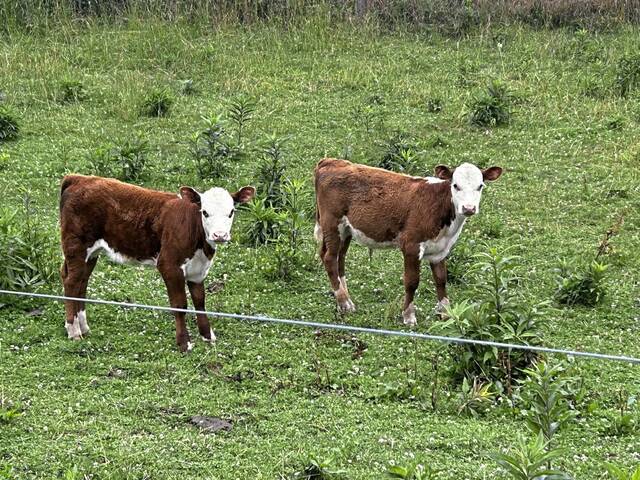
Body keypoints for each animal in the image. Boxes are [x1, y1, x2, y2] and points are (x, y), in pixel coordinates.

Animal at [59, 175, 255, 352]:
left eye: (231, 212)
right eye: (205, 212)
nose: (219, 235)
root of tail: (78, 178)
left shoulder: (198, 270)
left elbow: (200, 301)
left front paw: (207, 335)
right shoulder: (169, 265)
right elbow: (180, 305)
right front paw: (184, 343)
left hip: (91, 254)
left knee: (81, 281)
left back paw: (83, 327)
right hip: (76, 246)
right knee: (71, 282)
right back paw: (74, 331)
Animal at [313, 159, 502, 326]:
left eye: (480, 186)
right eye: (455, 185)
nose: (469, 208)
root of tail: (331, 161)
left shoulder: (440, 250)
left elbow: (441, 279)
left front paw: (446, 314)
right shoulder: (411, 245)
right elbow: (412, 282)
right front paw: (409, 316)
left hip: (346, 229)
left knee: (339, 258)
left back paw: (345, 297)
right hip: (332, 223)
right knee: (330, 258)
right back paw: (344, 302)